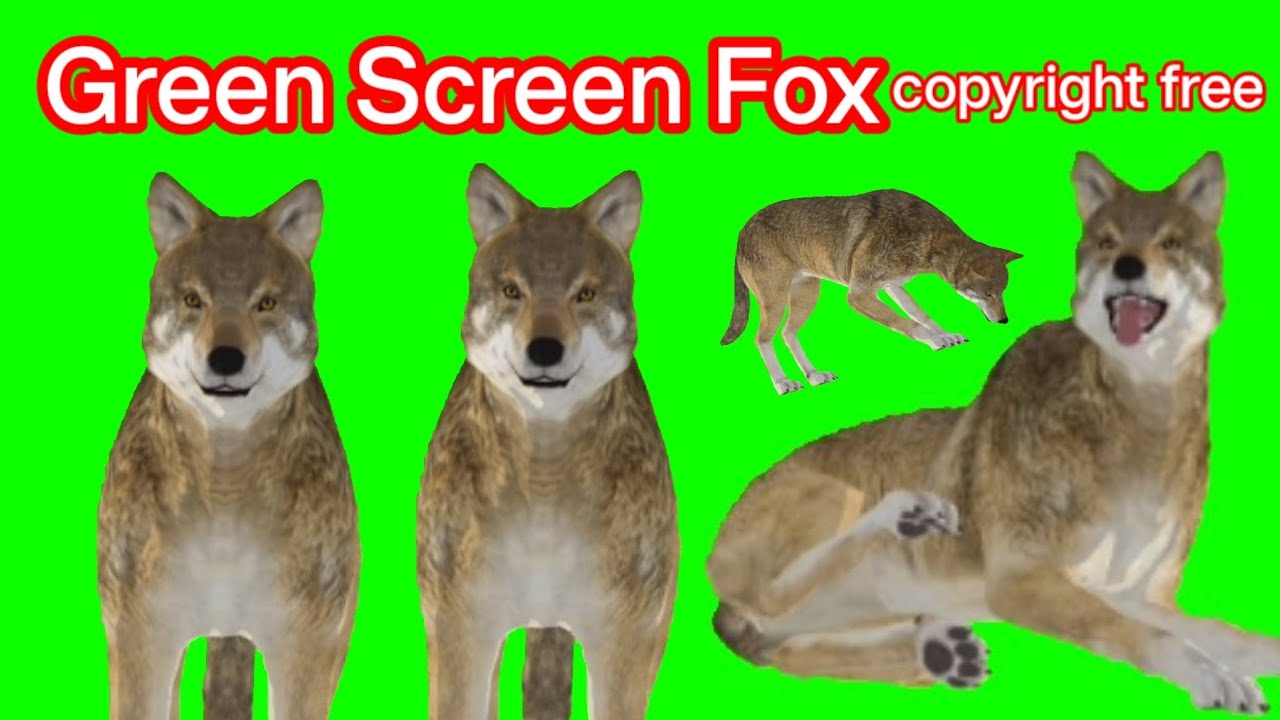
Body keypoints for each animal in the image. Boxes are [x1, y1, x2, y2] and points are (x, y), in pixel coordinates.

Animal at [98, 174, 359, 720]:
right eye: (194, 300)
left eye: (266, 304)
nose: (225, 359)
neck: (225, 493)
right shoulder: (141, 639)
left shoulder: (305, 650)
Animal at [416, 165, 679, 720]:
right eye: (513, 290)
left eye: (585, 294)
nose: (544, 350)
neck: (544, 485)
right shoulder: (460, 629)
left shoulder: (623, 641)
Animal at [721, 189, 1022, 394]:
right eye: (988, 294)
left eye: (1002, 292)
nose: (1004, 320)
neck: (927, 239)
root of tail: (741, 231)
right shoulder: (859, 294)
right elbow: (908, 324)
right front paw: (936, 341)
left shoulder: (894, 286)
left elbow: (922, 316)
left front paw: (946, 334)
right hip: (775, 301)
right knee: (762, 339)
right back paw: (783, 382)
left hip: (807, 297)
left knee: (788, 334)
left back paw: (814, 375)